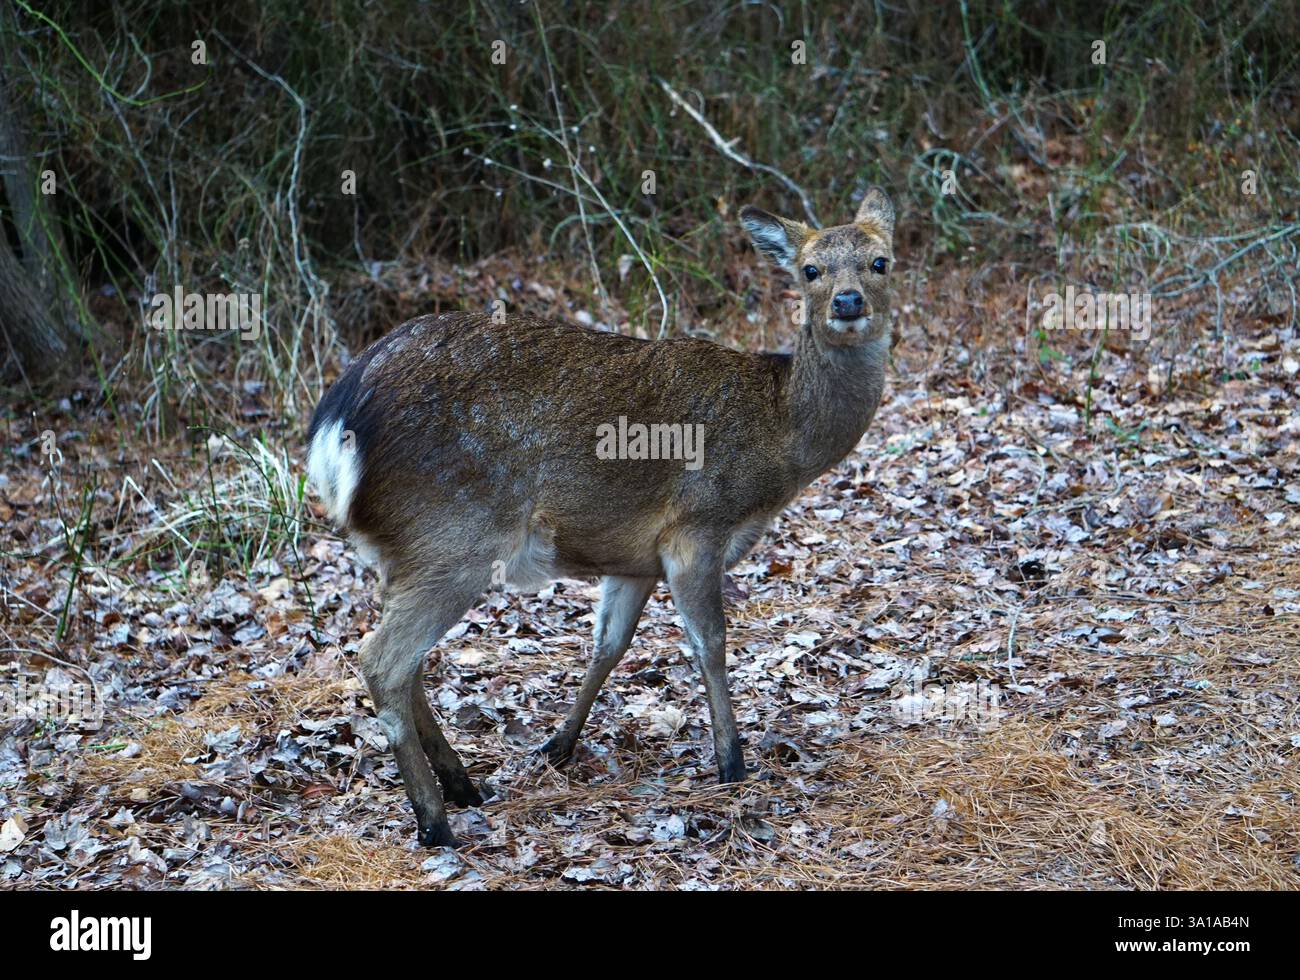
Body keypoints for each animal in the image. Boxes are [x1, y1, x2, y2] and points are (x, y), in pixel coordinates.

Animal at [307, 187, 896, 847]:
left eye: (880, 262)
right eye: (810, 270)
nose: (847, 301)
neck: (781, 440)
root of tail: (335, 425)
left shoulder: (635, 558)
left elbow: (608, 646)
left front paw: (558, 745)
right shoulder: (697, 527)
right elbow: (711, 643)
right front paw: (732, 762)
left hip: (404, 548)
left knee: (405, 665)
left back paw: (463, 784)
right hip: (453, 534)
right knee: (382, 661)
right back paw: (435, 821)